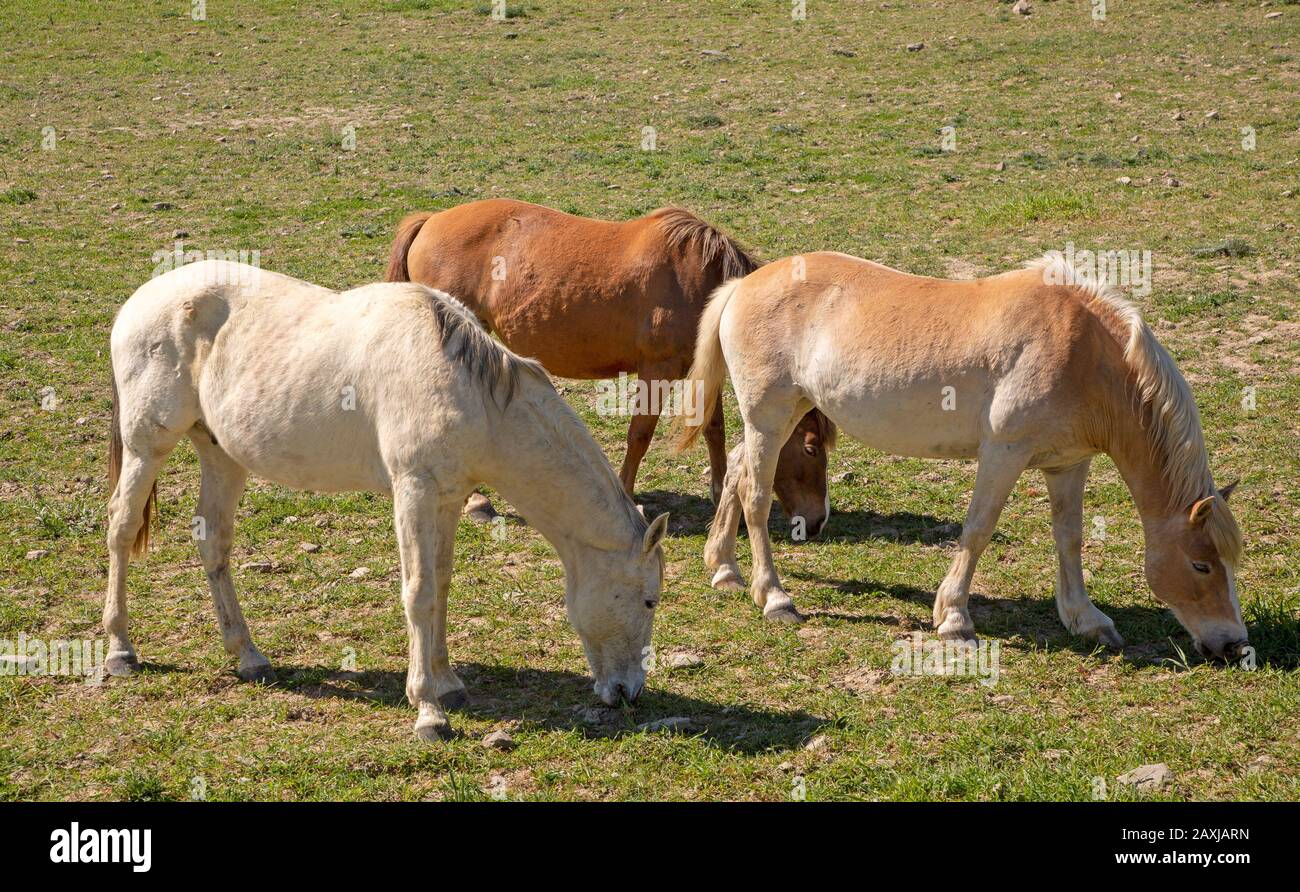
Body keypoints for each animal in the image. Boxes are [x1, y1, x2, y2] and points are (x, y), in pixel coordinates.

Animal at [104, 260, 669, 742]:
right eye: (649, 600)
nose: (630, 693)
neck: (472, 392)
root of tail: (141, 299)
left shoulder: (448, 498)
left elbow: (441, 584)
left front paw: (447, 682)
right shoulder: (413, 490)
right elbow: (418, 593)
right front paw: (429, 712)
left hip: (221, 455)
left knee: (213, 543)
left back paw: (248, 656)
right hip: (146, 446)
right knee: (122, 528)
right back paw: (120, 650)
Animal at [385, 198, 834, 533]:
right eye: (811, 448)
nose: (816, 522)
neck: (698, 282)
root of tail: (430, 221)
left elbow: (714, 430)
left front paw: (721, 495)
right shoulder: (657, 370)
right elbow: (640, 435)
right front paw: (628, 496)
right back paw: (476, 500)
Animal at [674, 251, 1249, 662]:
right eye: (1200, 564)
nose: (1235, 645)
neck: (1083, 351)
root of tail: (743, 285)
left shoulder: (1067, 463)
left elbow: (1069, 538)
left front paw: (1086, 619)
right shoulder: (1004, 453)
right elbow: (978, 530)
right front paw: (953, 618)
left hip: (779, 418)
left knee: (735, 473)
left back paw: (723, 569)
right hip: (770, 419)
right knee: (754, 496)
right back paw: (773, 597)